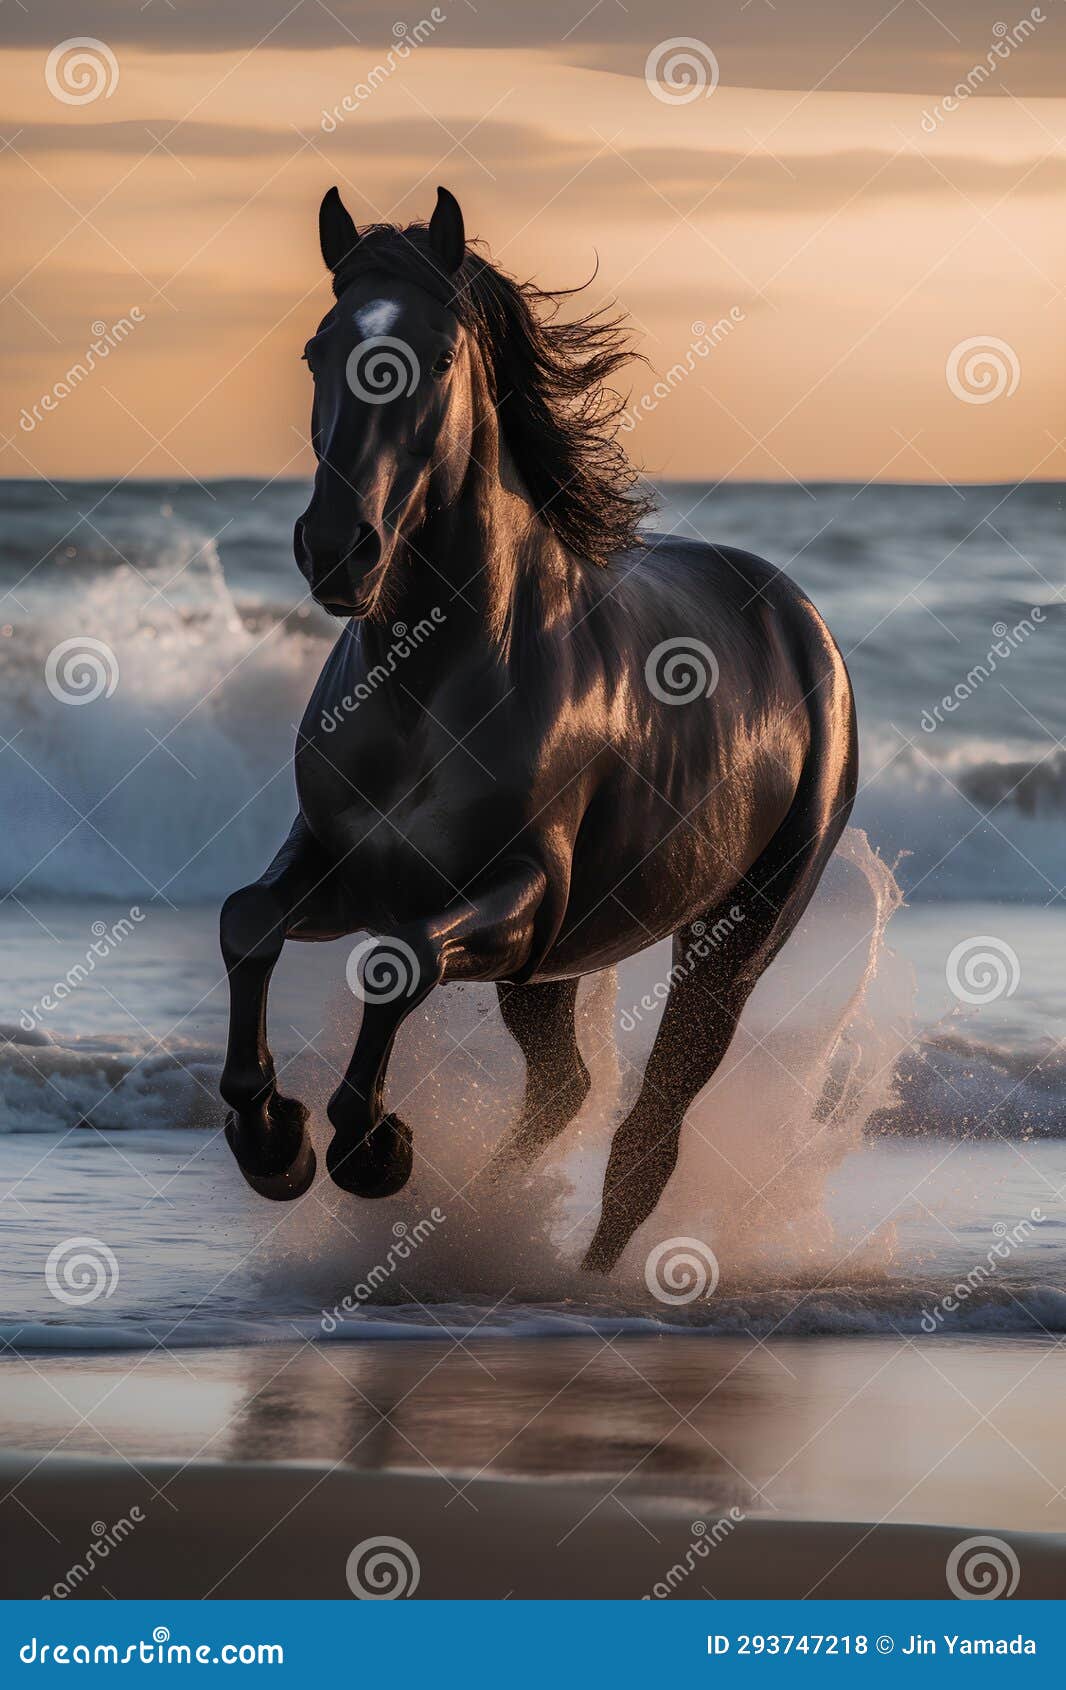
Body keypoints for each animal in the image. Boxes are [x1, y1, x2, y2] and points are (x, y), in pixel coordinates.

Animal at [219, 185, 857, 1275]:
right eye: (317, 349)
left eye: (433, 357)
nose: (338, 549)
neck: (428, 686)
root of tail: (800, 619)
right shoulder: (344, 866)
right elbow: (247, 920)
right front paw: (271, 1139)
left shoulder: (525, 893)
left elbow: (399, 961)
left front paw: (368, 1146)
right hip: (548, 978)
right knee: (565, 1091)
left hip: (734, 933)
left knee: (647, 1132)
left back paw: (581, 1276)